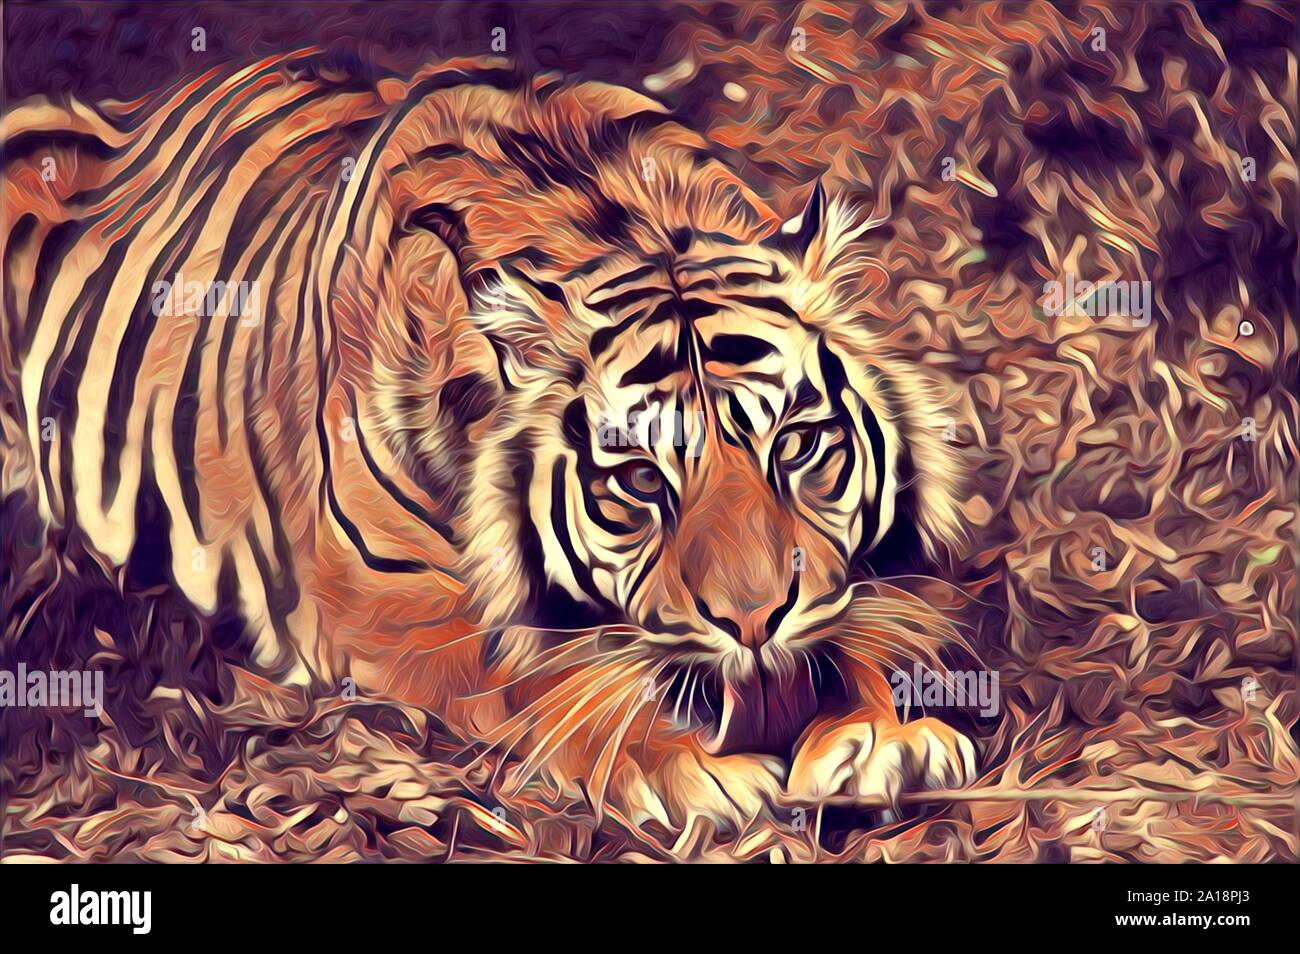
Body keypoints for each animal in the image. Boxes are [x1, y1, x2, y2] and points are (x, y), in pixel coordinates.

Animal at [1, 51, 976, 840]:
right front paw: (686, 766)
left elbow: (855, 624)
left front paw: (878, 736)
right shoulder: (401, 607)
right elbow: (543, 679)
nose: (753, 623)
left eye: (800, 446)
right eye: (639, 481)